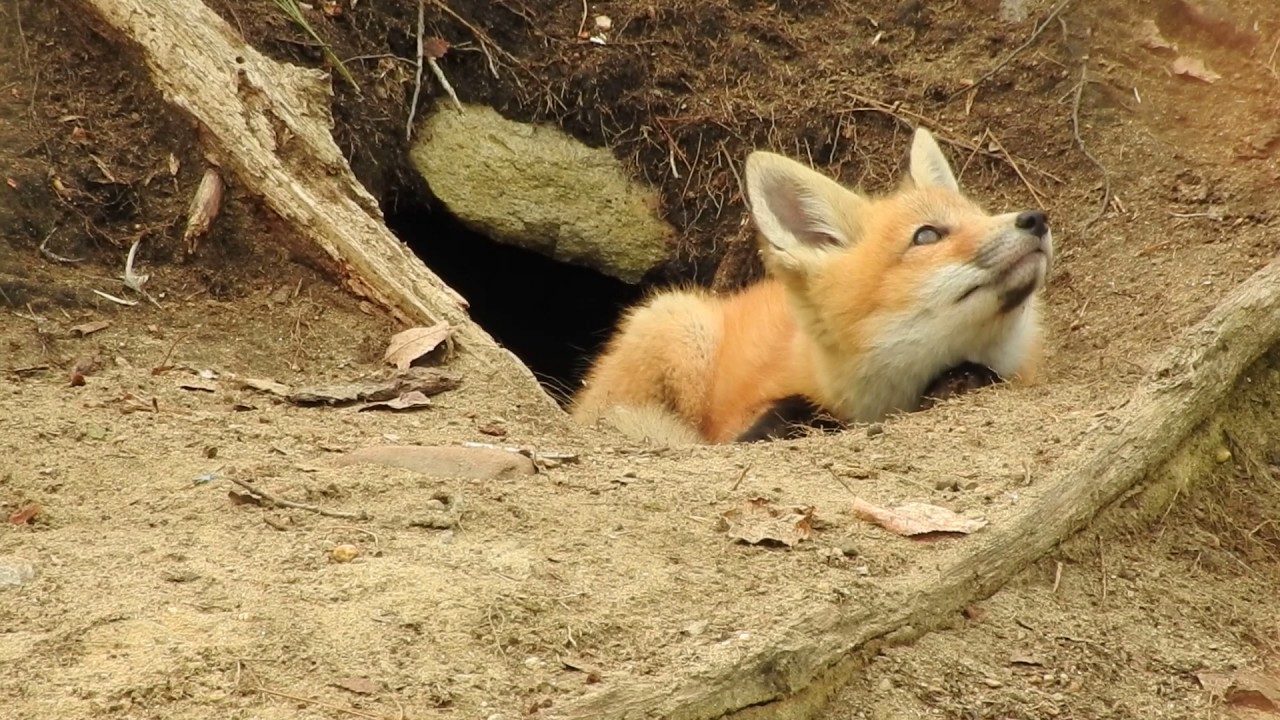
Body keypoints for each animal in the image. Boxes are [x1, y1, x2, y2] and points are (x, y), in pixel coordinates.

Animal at [570, 127, 1053, 445]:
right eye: (927, 236)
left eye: (980, 215)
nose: (1036, 218)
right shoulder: (747, 413)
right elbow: (783, 414)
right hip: (680, 325)